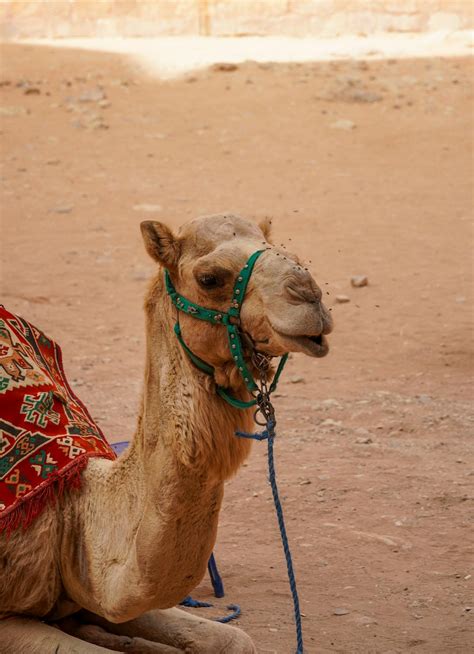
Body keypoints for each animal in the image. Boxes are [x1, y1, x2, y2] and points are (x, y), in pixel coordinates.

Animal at [0, 213, 333, 653]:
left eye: (287, 253)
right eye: (210, 278)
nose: (310, 296)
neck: (73, 513)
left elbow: (234, 639)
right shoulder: (6, 616)